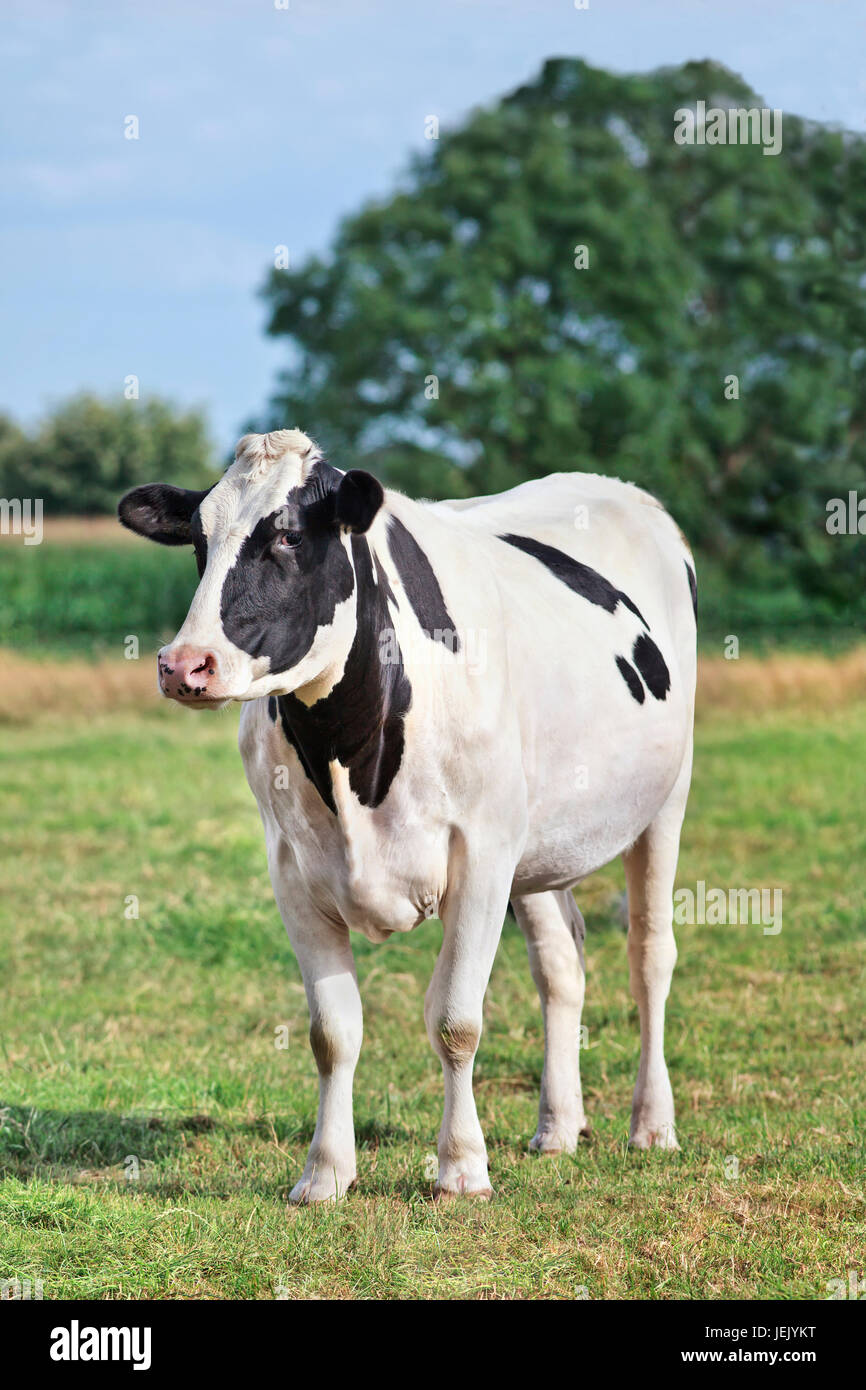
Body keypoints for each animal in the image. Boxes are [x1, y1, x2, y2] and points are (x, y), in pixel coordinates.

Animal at [119, 428, 696, 1203]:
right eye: (198, 543)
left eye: (288, 536)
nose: (185, 665)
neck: (350, 750)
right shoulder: (292, 871)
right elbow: (332, 1032)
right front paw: (325, 1172)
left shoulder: (481, 856)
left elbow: (456, 1019)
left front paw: (462, 1166)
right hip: (538, 845)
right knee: (561, 965)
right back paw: (558, 1127)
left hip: (666, 800)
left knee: (649, 957)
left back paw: (652, 1124)